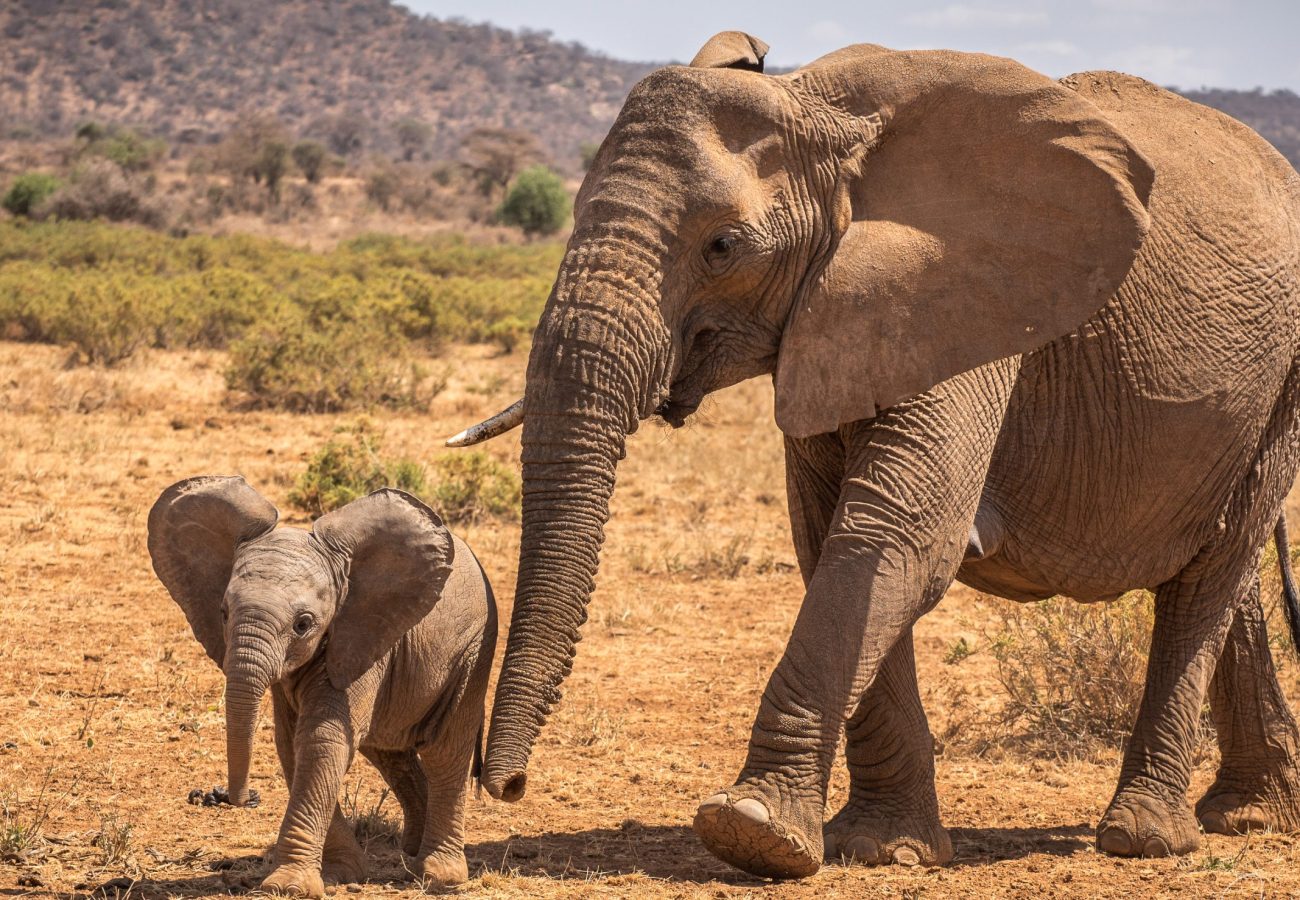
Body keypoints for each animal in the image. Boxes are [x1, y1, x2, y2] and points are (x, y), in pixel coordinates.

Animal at [147, 478, 497, 896]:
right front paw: (340, 873)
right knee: (389, 753)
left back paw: (438, 875)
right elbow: (292, 744)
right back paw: (411, 849)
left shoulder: (361, 633)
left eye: (303, 624)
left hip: (474, 649)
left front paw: (288, 887)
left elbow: (321, 739)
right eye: (224, 613)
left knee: (446, 750)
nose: (237, 799)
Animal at [450, 31, 1300, 879]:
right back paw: (1250, 816)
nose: (506, 784)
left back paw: (1144, 837)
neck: (818, 108)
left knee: (1212, 573)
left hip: (1279, 382)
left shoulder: (967, 298)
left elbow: (896, 536)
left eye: (723, 246)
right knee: (1224, 572)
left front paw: (750, 831)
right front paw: (882, 847)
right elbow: (832, 535)